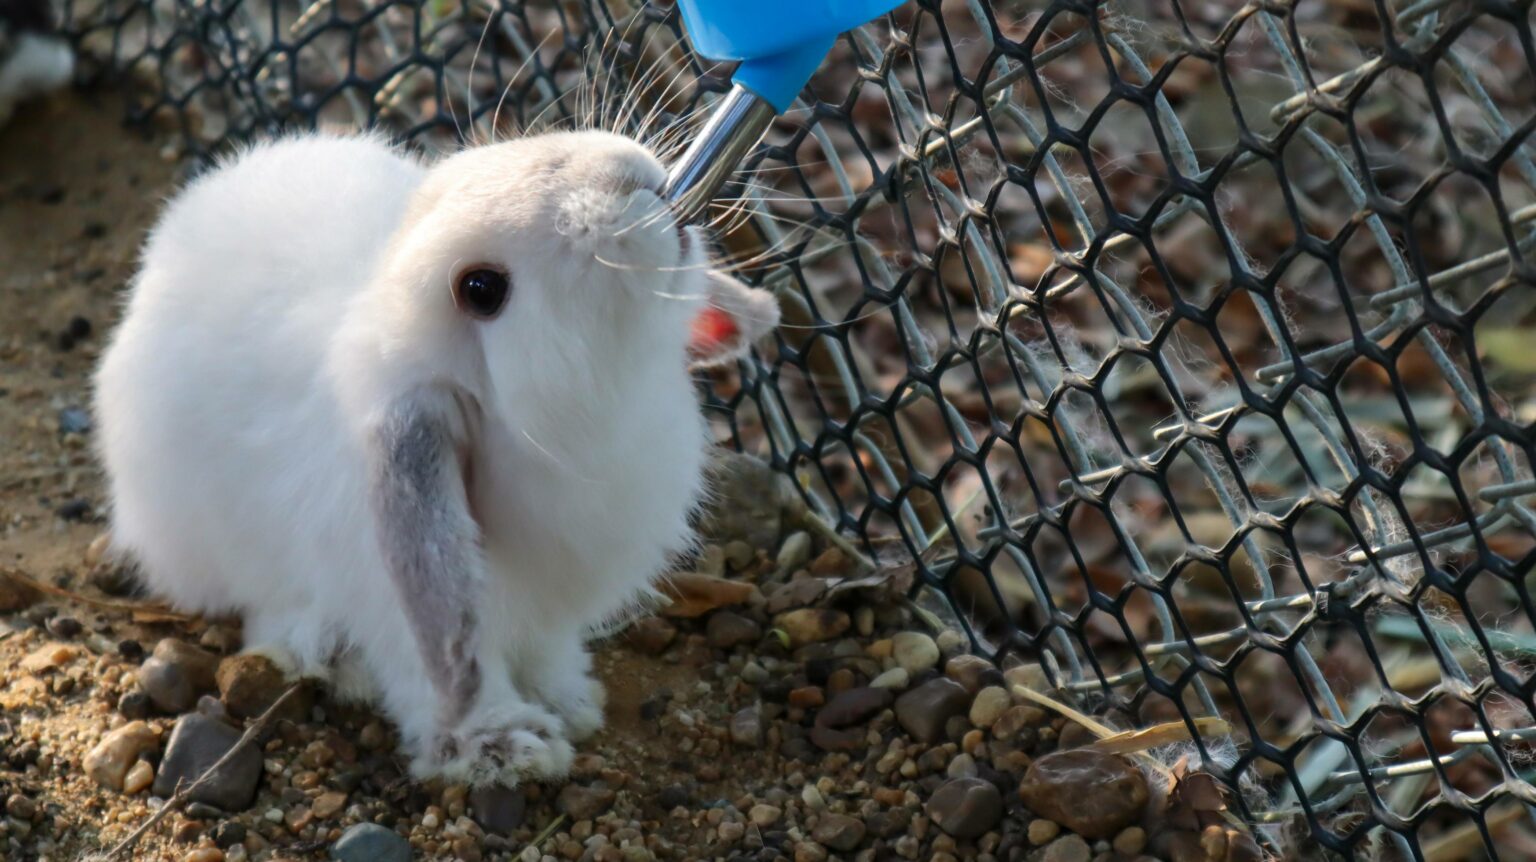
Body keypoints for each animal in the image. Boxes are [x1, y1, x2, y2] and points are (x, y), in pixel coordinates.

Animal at [93, 129, 779, 787]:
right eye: (481, 289)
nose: (623, 174)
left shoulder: (554, 611)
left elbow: (547, 654)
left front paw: (571, 702)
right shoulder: (404, 606)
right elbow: (448, 674)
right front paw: (504, 748)